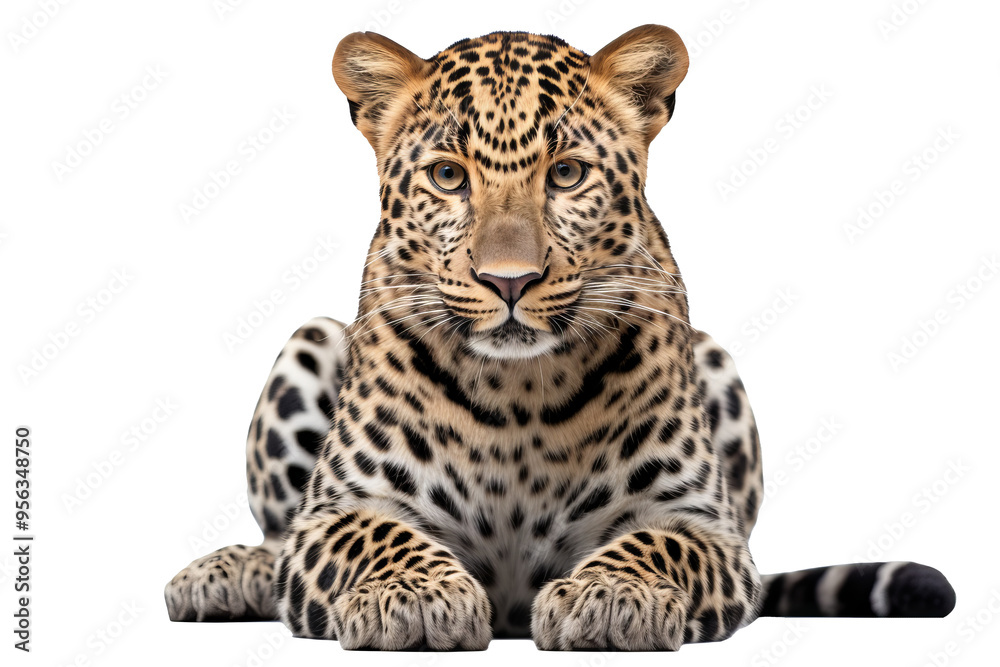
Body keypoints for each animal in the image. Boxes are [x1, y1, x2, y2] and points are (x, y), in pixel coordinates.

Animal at [165, 25, 956, 650]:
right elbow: (373, 534)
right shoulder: (338, 510)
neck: (517, 392)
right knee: (274, 539)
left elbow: (658, 542)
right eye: (448, 176)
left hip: (719, 362)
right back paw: (224, 573)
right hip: (309, 341)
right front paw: (416, 598)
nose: (508, 281)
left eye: (568, 174)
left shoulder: (705, 524)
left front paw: (610, 599)